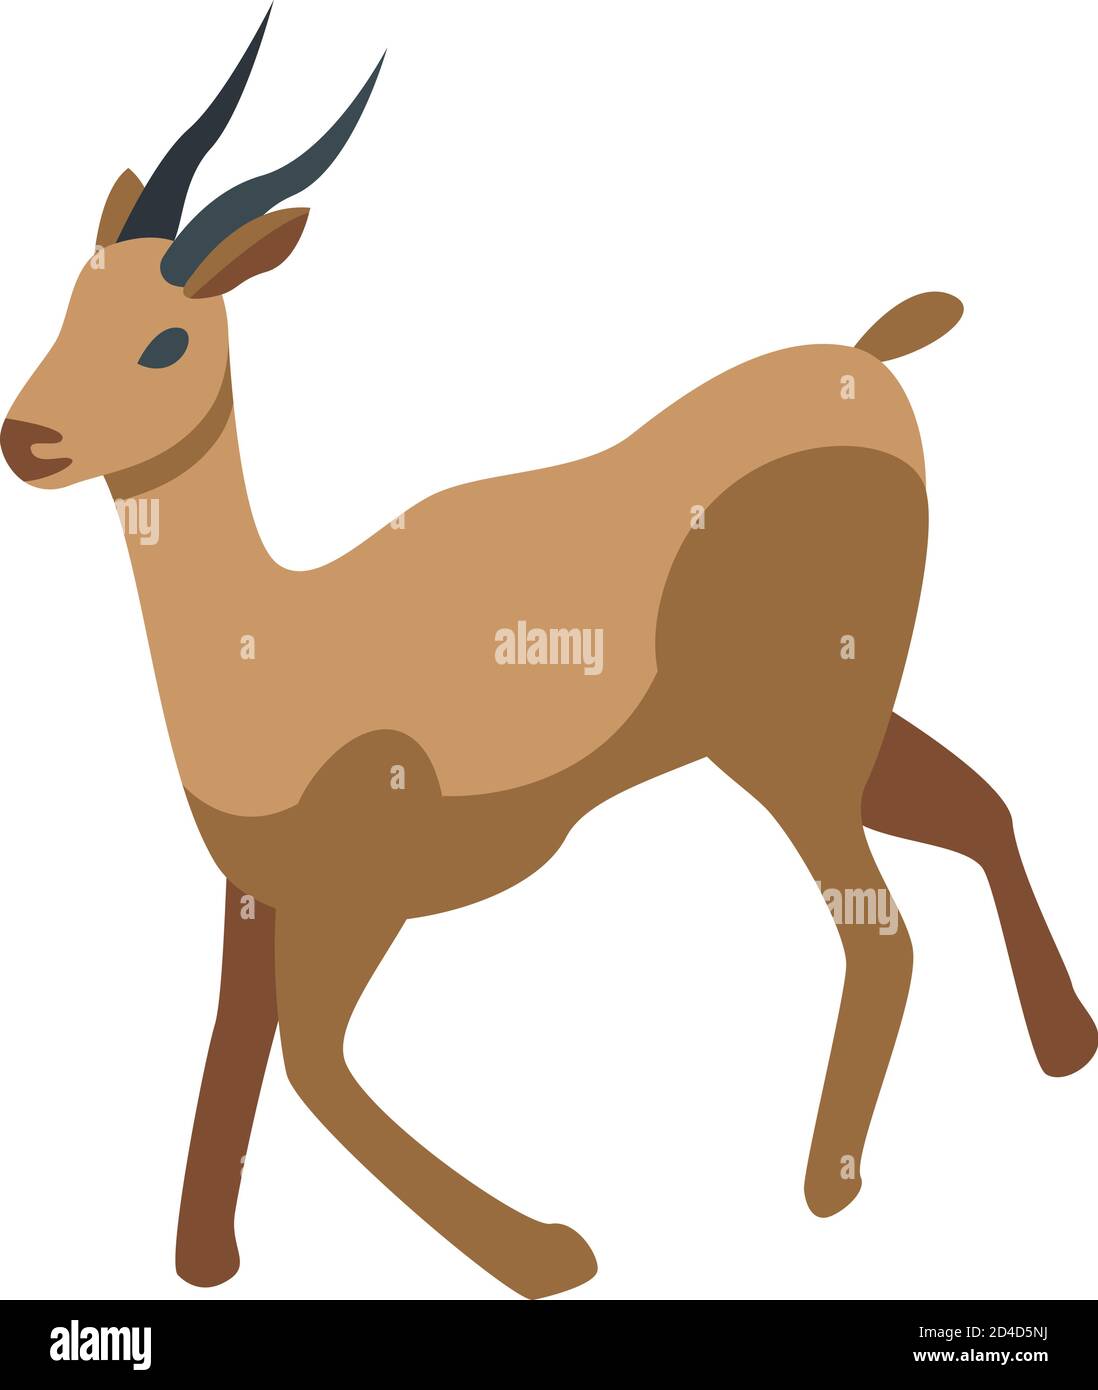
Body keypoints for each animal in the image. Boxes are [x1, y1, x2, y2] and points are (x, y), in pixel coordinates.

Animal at [4, 9, 1095, 1300]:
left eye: (166, 340)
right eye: (67, 304)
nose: (27, 438)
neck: (264, 644)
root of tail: (867, 360)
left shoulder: (361, 895)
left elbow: (312, 1063)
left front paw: (550, 1254)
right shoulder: (258, 892)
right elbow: (233, 1049)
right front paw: (203, 1260)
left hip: (790, 747)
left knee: (885, 932)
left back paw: (824, 1191)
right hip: (828, 722)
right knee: (982, 804)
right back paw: (1065, 1051)